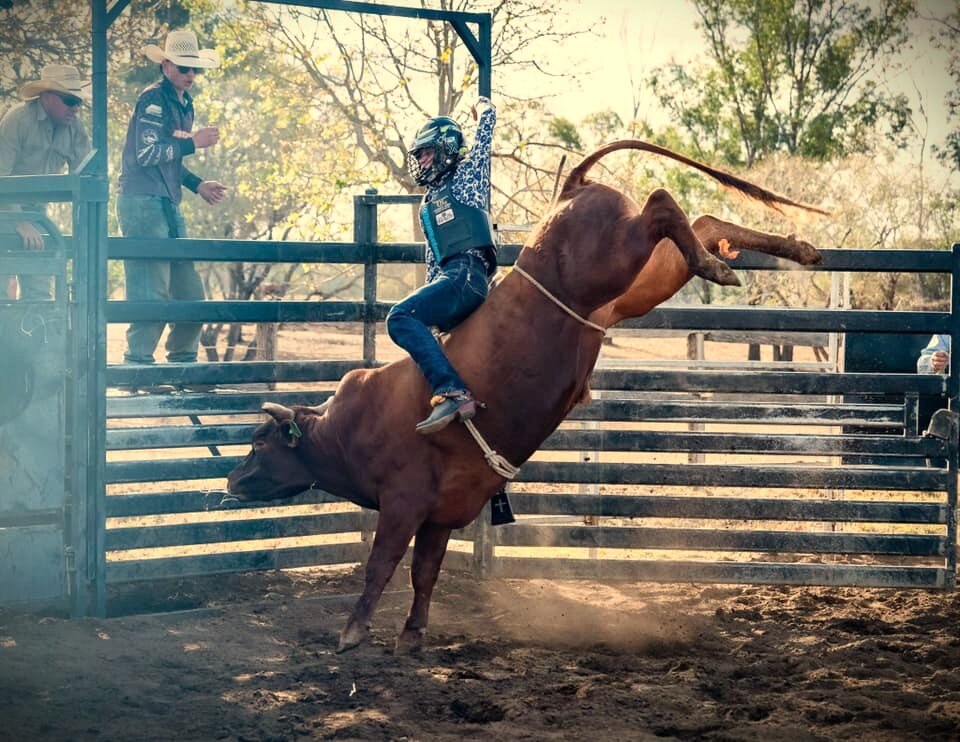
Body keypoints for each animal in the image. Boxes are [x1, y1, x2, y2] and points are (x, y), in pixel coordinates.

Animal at [226, 140, 824, 654]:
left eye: (258, 442)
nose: (231, 481)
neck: (344, 428)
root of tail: (569, 191)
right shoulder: (442, 514)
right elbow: (425, 575)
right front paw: (412, 636)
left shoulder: (402, 503)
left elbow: (382, 566)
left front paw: (352, 633)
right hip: (629, 291)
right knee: (697, 223)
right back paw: (784, 249)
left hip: (611, 260)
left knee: (660, 204)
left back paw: (715, 264)